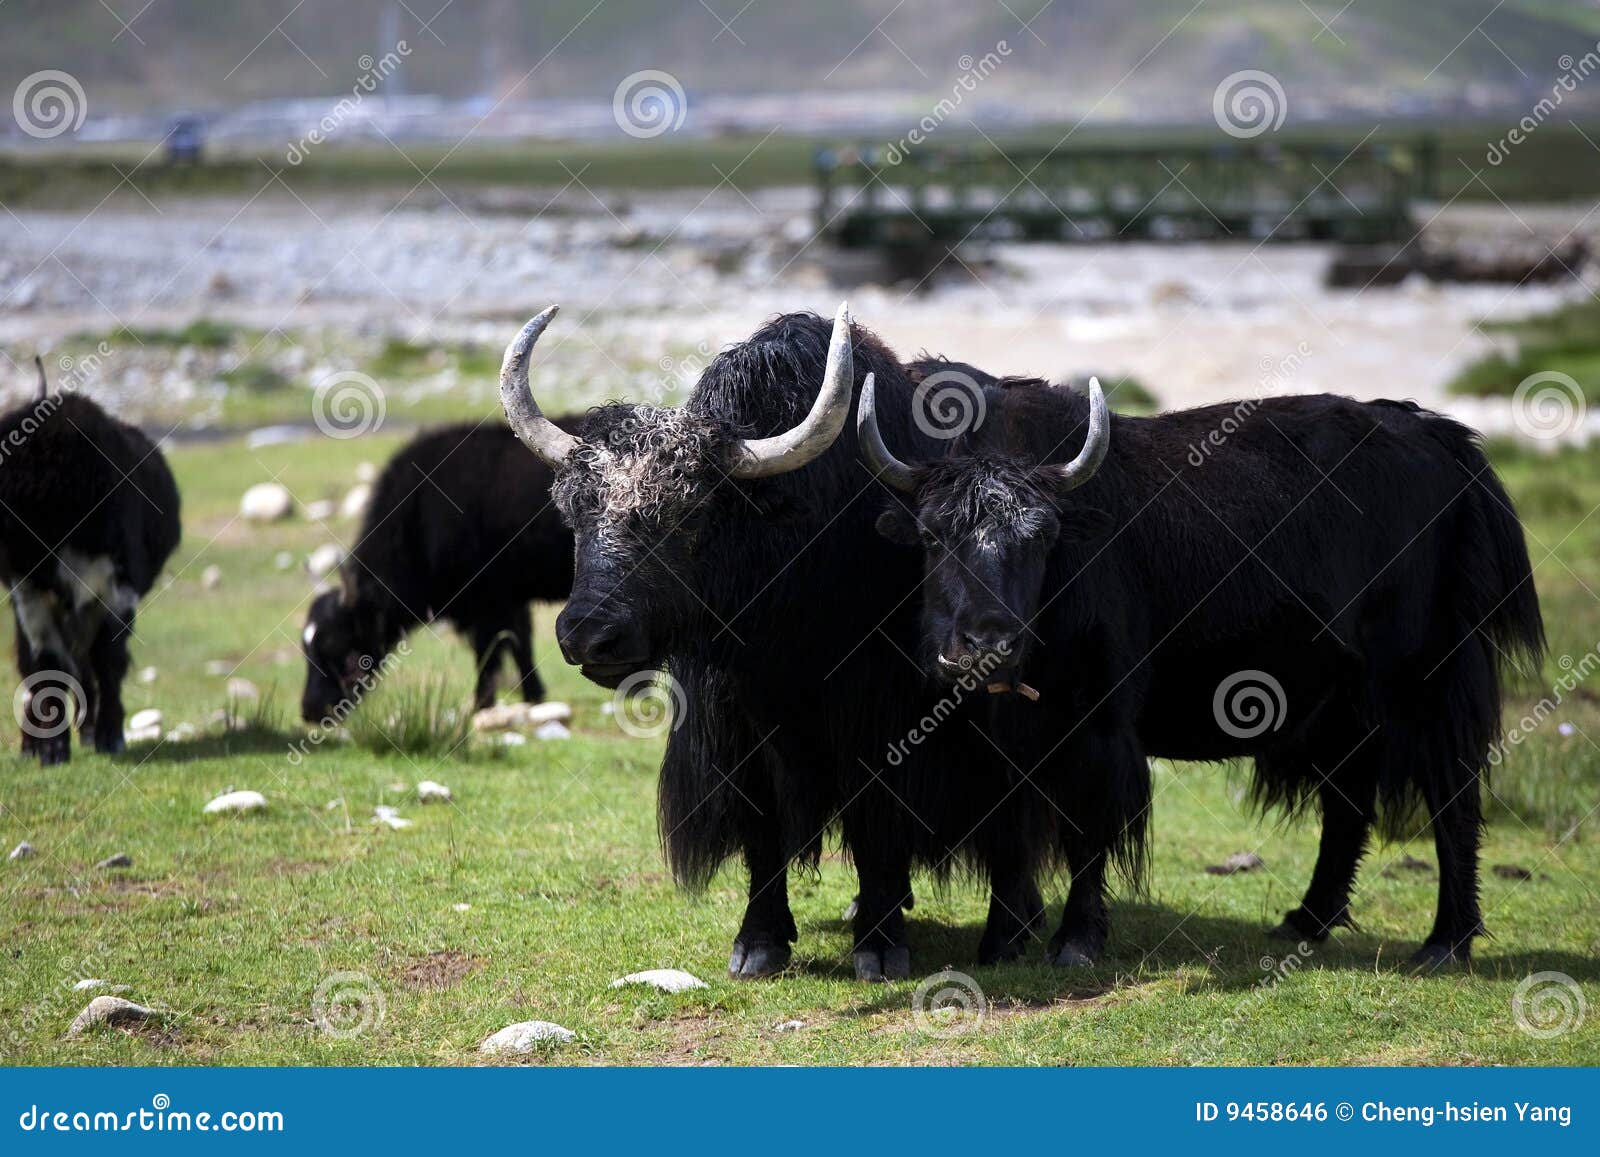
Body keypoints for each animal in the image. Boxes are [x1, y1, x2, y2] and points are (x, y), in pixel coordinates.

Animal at [0, 360, 181, 764]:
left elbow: (108, 659)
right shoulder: (29, 592)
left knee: (86, 664)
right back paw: (34, 744)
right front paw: (52, 751)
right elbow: (47, 663)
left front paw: (110, 737)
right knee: (39, 665)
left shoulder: (117, 588)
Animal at [300, 422, 574, 725]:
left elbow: (490, 652)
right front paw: (533, 696)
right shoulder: (509, 601)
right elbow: (520, 644)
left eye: (338, 647)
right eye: (306, 647)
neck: (418, 516)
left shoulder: (488, 604)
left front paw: (482, 704)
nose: (311, 710)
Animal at [498, 305, 1061, 980]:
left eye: (690, 516)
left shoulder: (877, 712)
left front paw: (880, 946)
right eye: (575, 512)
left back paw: (1014, 924)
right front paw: (760, 942)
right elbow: (761, 822)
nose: (588, 635)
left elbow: (875, 812)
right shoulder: (735, 722)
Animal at [858, 369, 1544, 970]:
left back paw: (1446, 943)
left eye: (1043, 538)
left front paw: (1076, 941)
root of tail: (1445, 441)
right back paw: (1305, 921)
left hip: (1428, 679)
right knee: (1348, 799)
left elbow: (1088, 827)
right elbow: (1011, 827)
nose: (988, 644)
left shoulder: (1099, 724)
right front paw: (1003, 941)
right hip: (1345, 701)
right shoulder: (1008, 737)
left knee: (1452, 797)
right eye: (934, 535)